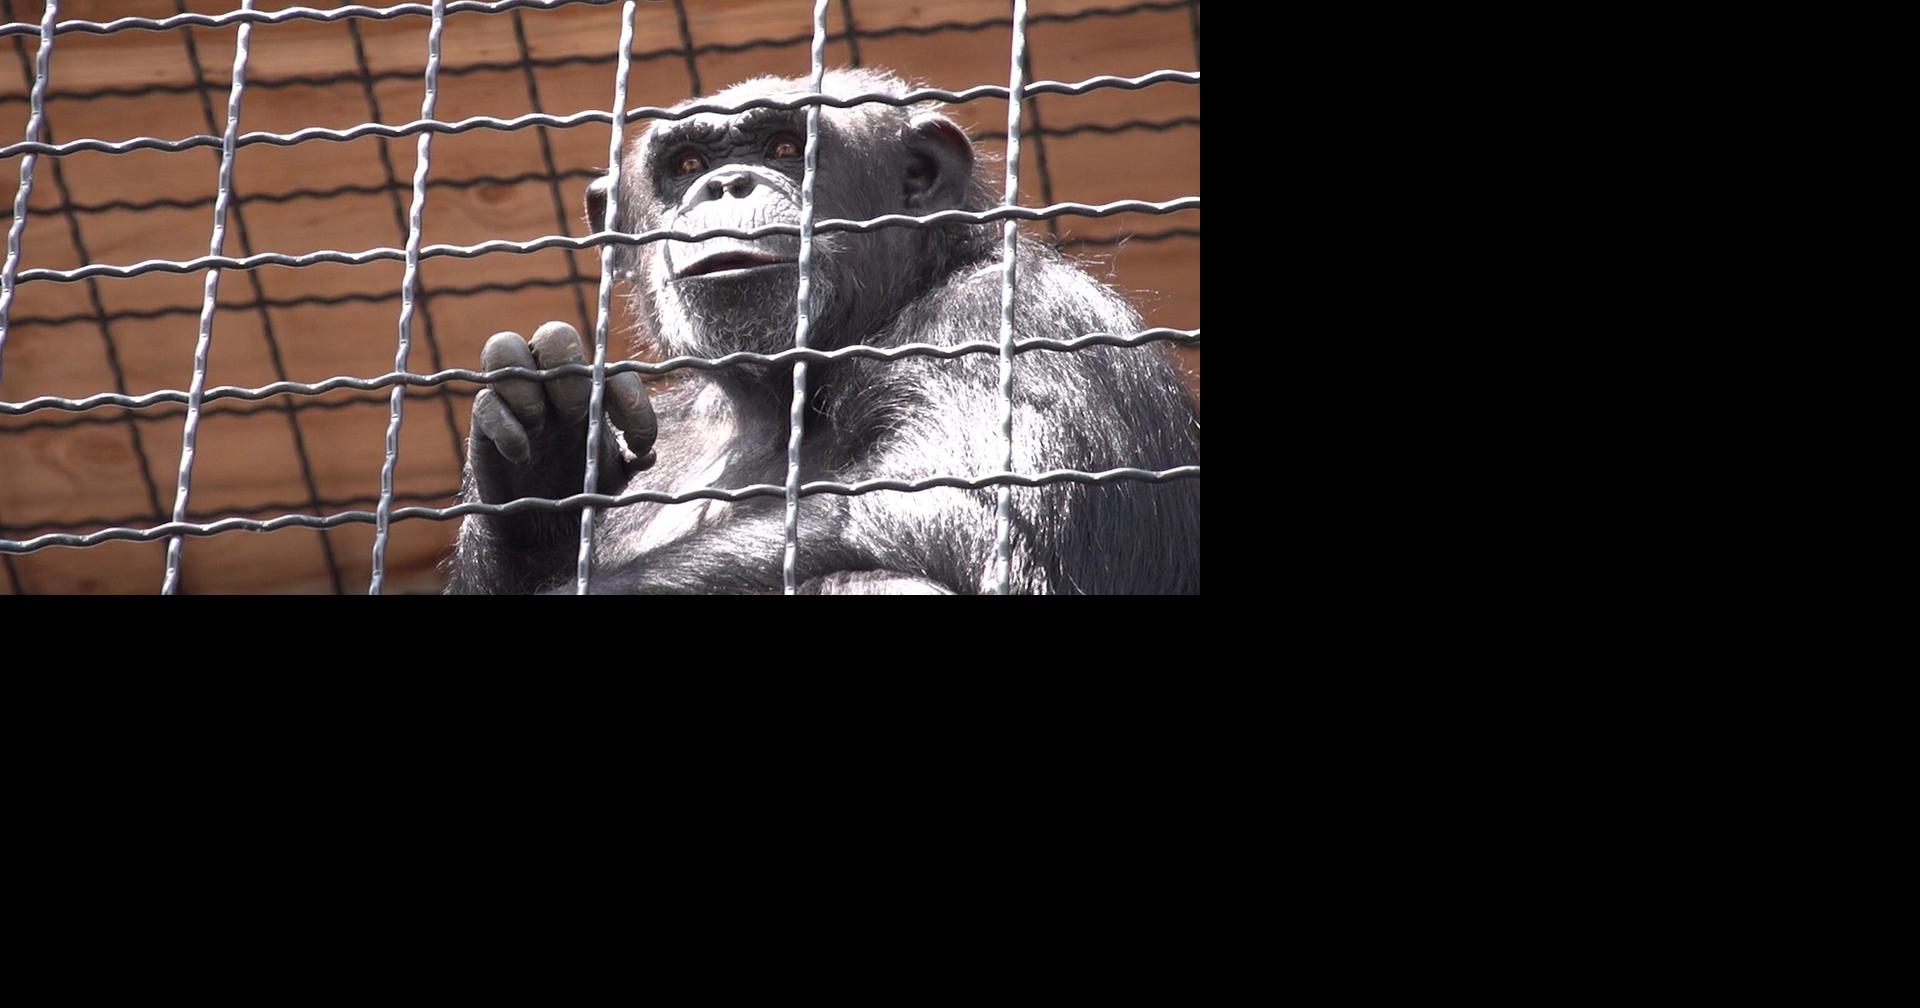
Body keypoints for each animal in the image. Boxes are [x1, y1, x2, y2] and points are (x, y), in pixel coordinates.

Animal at [445, 68, 1198, 594]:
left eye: (785, 147)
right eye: (687, 165)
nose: (727, 184)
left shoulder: (1012, 319)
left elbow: (950, 513)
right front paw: (546, 443)